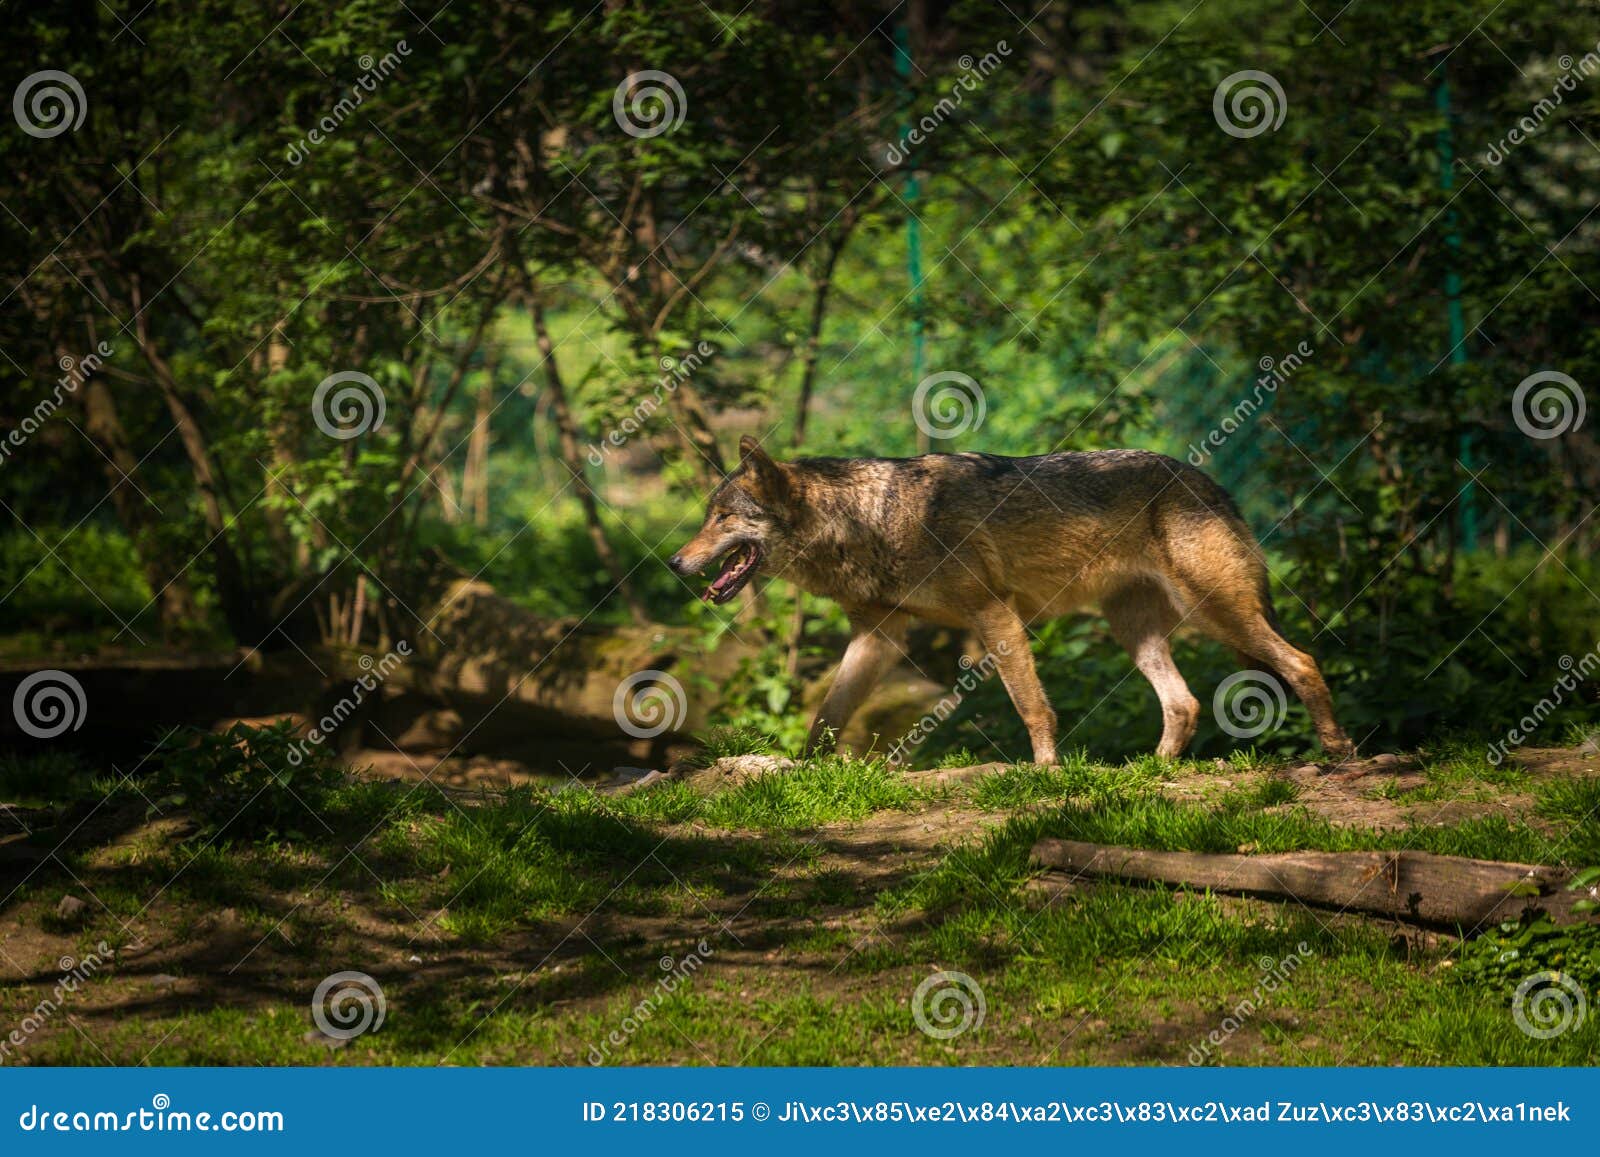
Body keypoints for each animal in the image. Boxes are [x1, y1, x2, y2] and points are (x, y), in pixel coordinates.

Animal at [669, 436, 1352, 763]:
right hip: (1138, 633)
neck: (867, 521)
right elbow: (825, 718)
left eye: (723, 518)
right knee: (1183, 704)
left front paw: (1046, 773)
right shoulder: (878, 638)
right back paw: (1152, 771)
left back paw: (1336, 752)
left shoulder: (995, 615)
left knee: (1302, 662)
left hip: (1216, 614)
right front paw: (804, 773)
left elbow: (1032, 707)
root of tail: (1208, 480)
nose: (674, 562)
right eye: (705, 517)